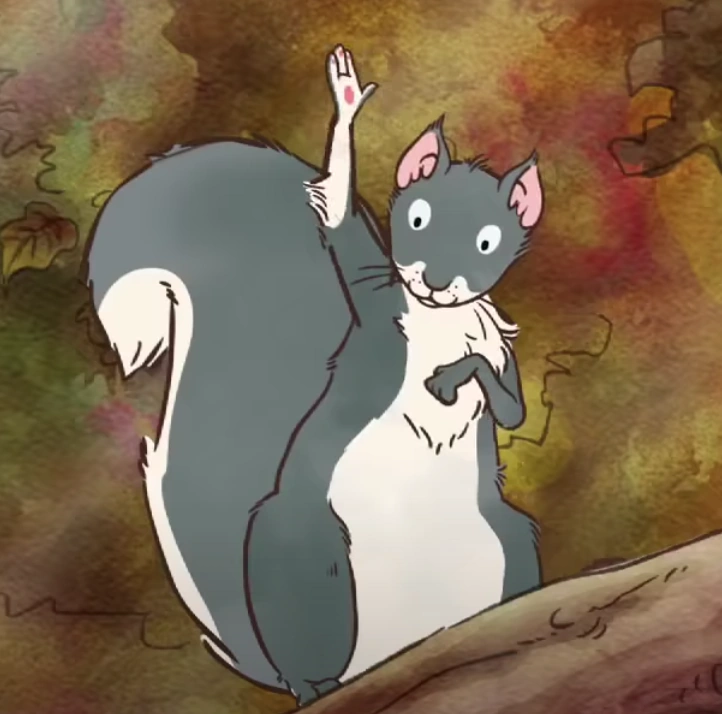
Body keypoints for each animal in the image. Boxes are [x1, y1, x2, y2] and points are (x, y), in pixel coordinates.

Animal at [83, 44, 544, 707]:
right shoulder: (375, 309)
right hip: (309, 556)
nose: (435, 280)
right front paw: (347, 107)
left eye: (489, 242)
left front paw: (451, 379)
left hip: (511, 537)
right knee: (312, 664)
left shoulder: (497, 353)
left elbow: (509, 406)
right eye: (417, 219)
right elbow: (340, 218)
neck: (437, 320)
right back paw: (319, 682)